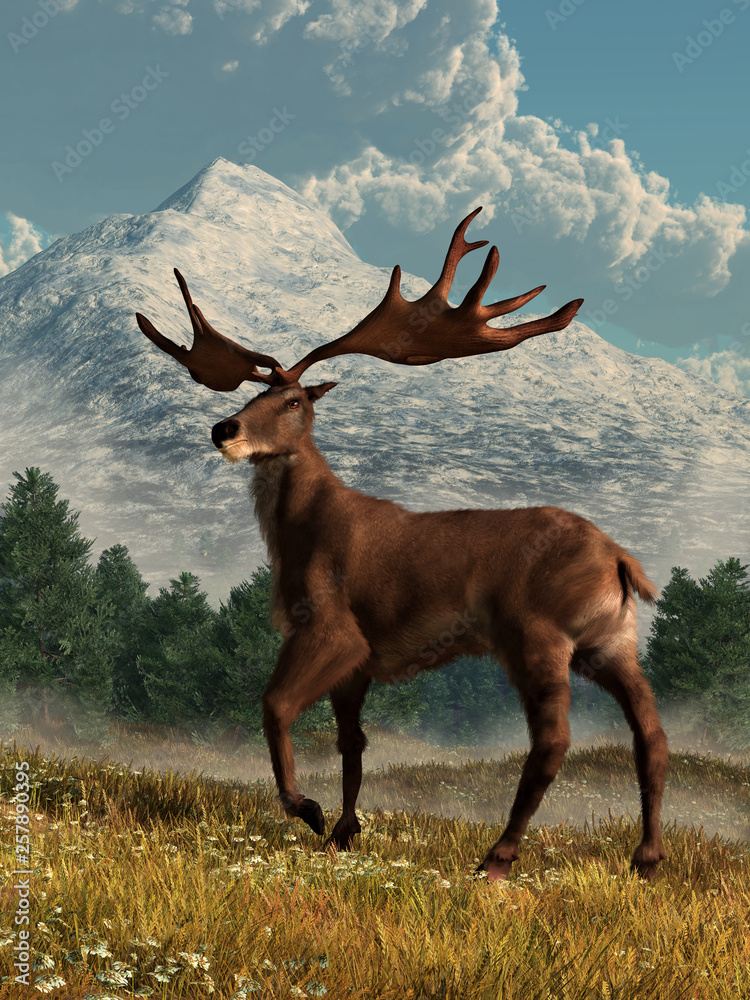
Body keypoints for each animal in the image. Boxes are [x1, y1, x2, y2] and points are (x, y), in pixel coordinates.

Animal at [135, 207, 668, 882]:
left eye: (291, 400)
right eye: (249, 395)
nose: (222, 429)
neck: (302, 535)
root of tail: (622, 559)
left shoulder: (334, 626)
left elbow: (274, 705)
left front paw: (308, 810)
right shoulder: (358, 662)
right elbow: (352, 743)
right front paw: (344, 832)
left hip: (537, 632)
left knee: (553, 741)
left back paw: (497, 858)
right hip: (612, 640)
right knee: (651, 733)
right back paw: (646, 858)